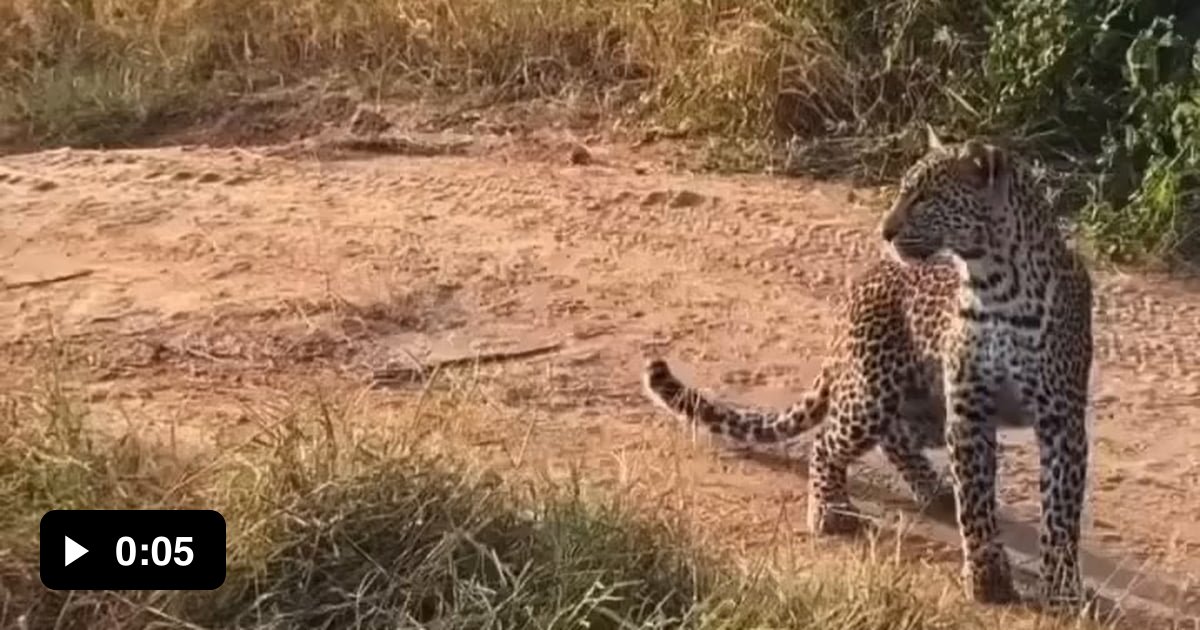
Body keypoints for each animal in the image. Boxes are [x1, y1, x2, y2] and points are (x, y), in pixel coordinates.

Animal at [641, 128, 1094, 610]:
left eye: (925, 197)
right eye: (904, 192)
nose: (885, 232)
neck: (996, 283)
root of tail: (856, 286)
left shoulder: (1061, 418)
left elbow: (1061, 513)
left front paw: (1062, 589)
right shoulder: (968, 413)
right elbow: (976, 504)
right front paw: (988, 578)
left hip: (922, 409)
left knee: (894, 436)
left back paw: (932, 489)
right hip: (874, 394)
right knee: (827, 440)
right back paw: (832, 510)